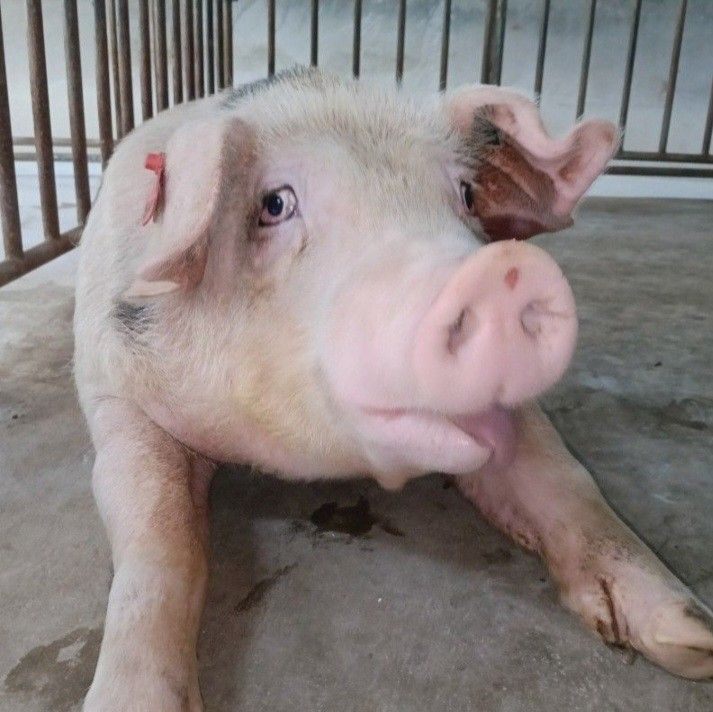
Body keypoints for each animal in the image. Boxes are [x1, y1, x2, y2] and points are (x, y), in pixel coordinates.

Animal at [73, 67, 713, 710]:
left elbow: (564, 474)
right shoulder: (115, 392)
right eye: (275, 204)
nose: (502, 273)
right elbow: (159, 535)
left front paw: (692, 640)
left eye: (467, 195)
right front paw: (126, 702)